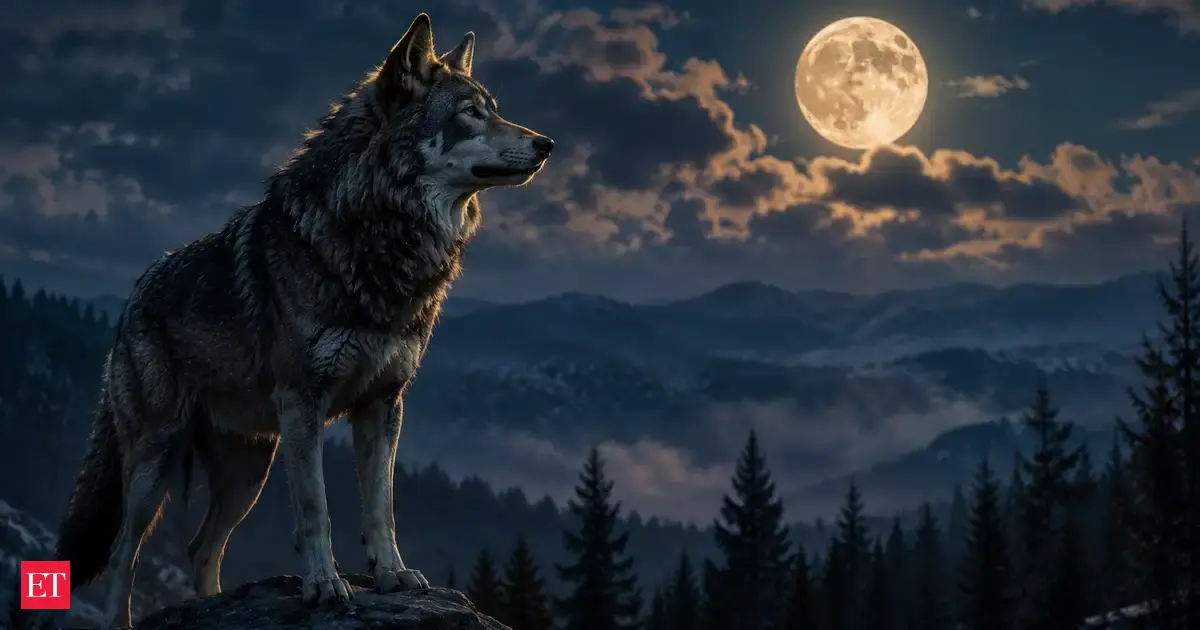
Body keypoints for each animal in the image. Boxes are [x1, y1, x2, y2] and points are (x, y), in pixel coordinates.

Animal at [52, 13, 553, 629]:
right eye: (470, 113)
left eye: (494, 108)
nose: (546, 144)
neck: (379, 236)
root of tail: (131, 300)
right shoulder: (303, 404)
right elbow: (317, 509)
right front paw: (323, 585)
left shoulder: (383, 403)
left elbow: (381, 506)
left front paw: (391, 575)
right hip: (158, 461)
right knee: (126, 551)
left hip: (251, 468)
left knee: (200, 547)